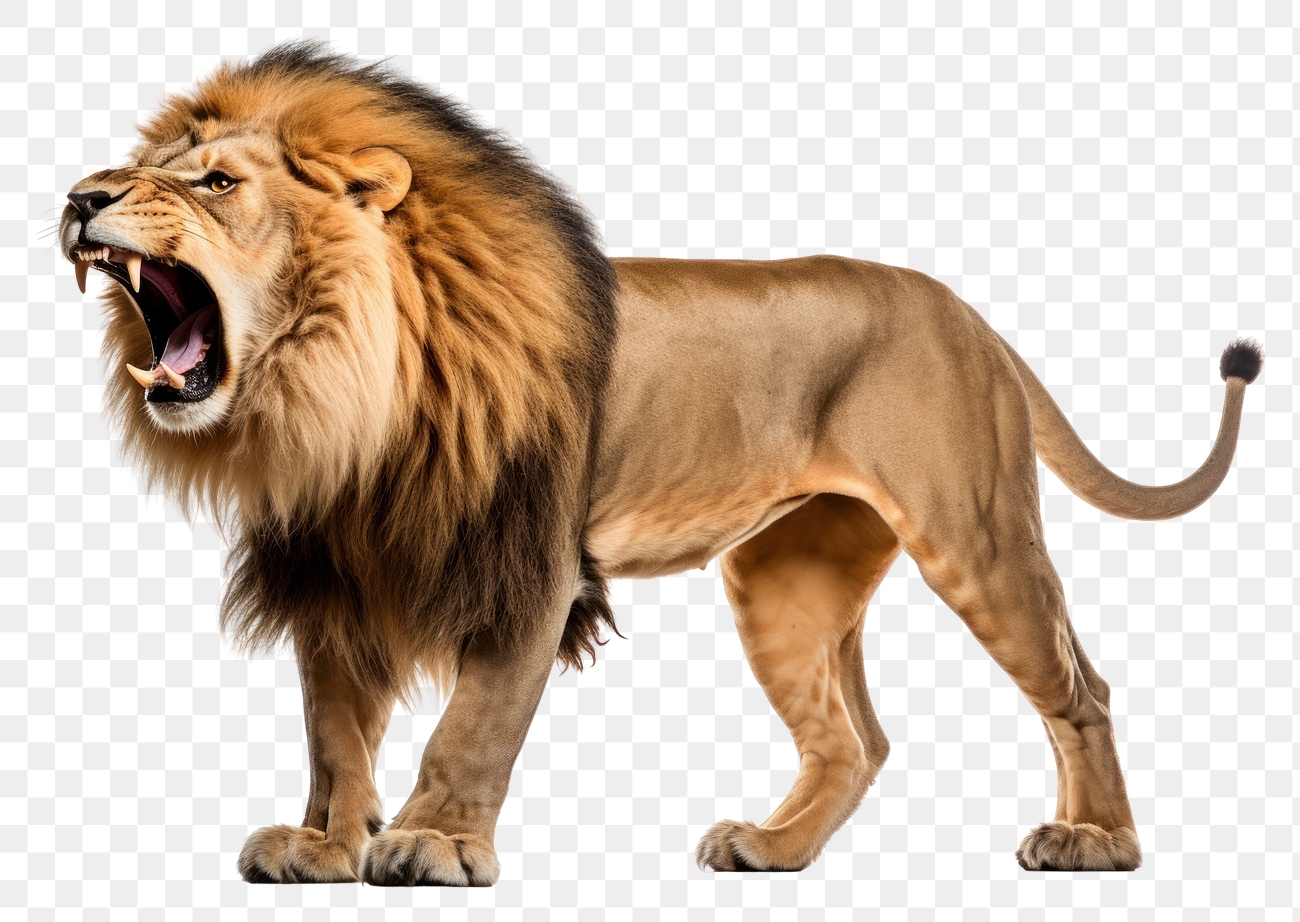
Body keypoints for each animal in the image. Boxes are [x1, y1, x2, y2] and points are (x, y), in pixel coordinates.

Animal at [59, 44, 1262, 884]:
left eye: (215, 184)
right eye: (139, 171)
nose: (79, 198)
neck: (342, 396)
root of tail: (969, 315)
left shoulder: (530, 567)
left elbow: (471, 725)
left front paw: (434, 843)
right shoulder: (332, 569)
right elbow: (333, 728)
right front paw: (322, 846)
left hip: (975, 533)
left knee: (1081, 689)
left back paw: (1095, 842)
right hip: (787, 575)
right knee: (857, 739)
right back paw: (774, 848)